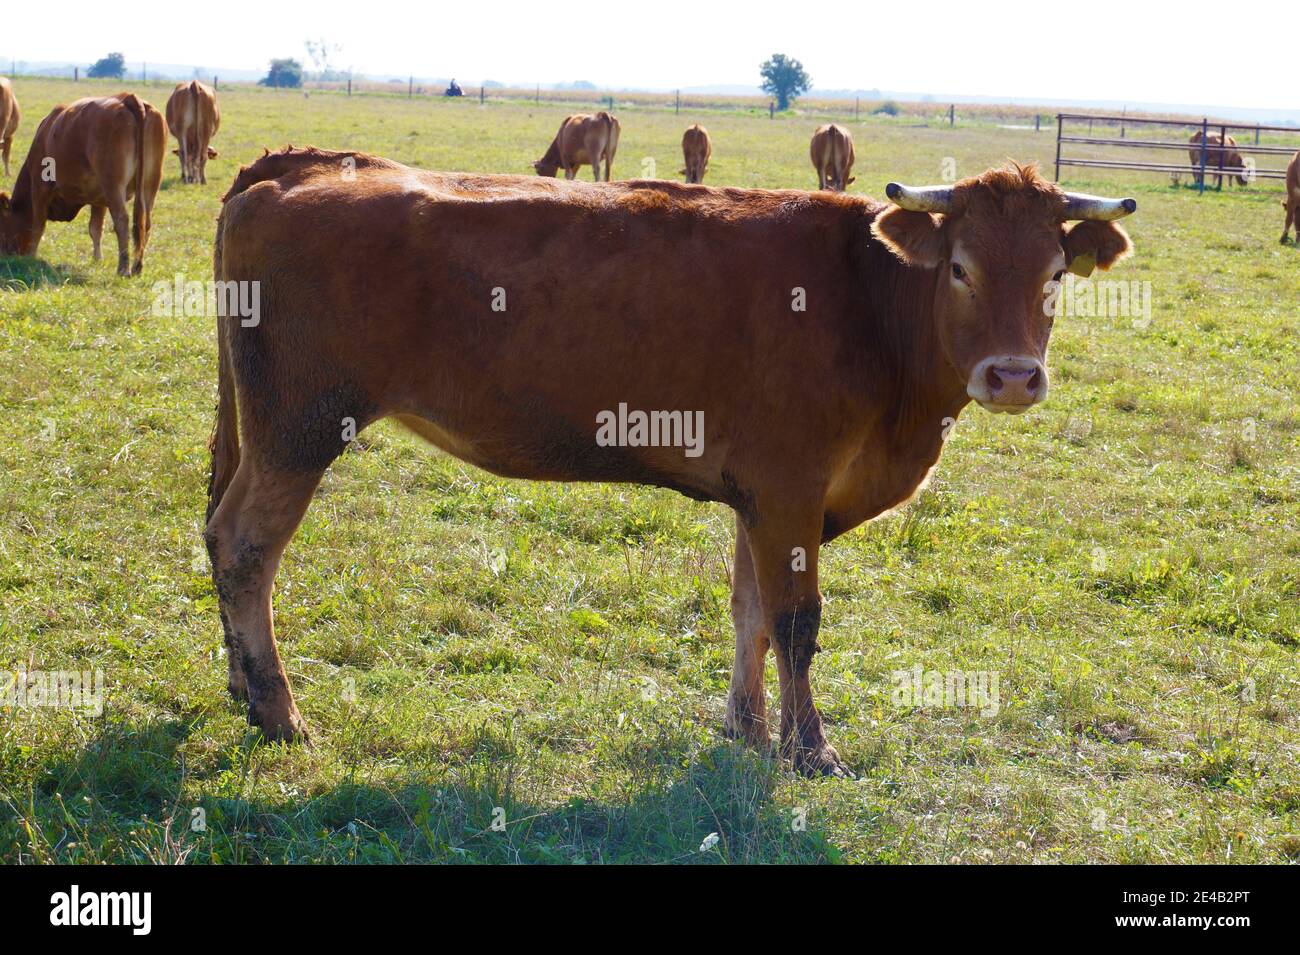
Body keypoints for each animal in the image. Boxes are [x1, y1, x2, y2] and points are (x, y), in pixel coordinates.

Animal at [0, 93, 166, 277]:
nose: (4, 255)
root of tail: (127, 98)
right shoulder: (100, 200)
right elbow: (95, 229)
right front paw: (97, 259)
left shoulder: (40, 186)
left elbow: (38, 225)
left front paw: (31, 256)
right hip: (149, 184)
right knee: (146, 222)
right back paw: (137, 267)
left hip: (113, 185)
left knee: (122, 220)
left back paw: (123, 269)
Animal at [204, 148, 1135, 775]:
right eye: (962, 267)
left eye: (1057, 271)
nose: (1013, 375)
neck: (868, 298)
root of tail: (303, 167)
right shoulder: (791, 488)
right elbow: (797, 623)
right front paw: (810, 749)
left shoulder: (761, 496)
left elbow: (750, 612)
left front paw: (746, 729)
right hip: (298, 429)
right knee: (244, 546)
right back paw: (280, 712)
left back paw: (244, 691)